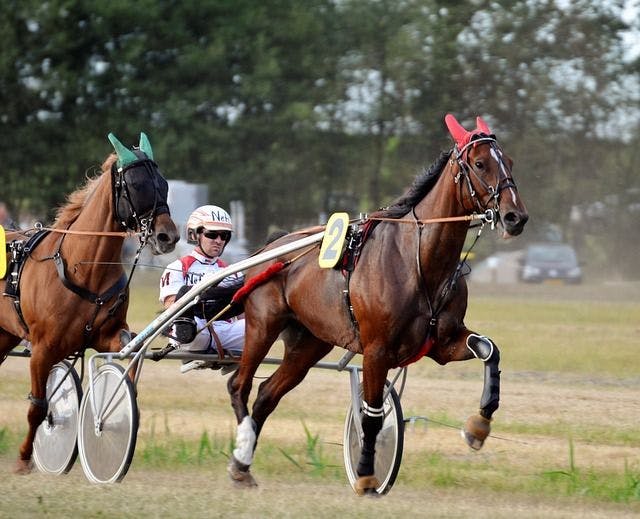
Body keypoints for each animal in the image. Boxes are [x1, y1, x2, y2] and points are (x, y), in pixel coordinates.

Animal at [0, 133, 179, 474]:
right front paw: (25, 458)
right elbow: (38, 407)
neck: (83, 268)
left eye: (163, 184)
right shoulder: (42, 348)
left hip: (3, 335)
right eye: (136, 185)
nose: (168, 237)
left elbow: (126, 364)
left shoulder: (108, 334)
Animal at [226, 113, 528, 494]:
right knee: (240, 385)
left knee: (267, 393)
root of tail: (271, 248)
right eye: (479, 164)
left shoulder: (443, 344)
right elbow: (371, 417)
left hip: (311, 342)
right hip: (263, 324)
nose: (516, 217)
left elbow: (489, 349)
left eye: (511, 162)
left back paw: (243, 463)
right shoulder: (377, 350)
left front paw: (478, 426)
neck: (419, 261)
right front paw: (367, 474)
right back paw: (241, 450)